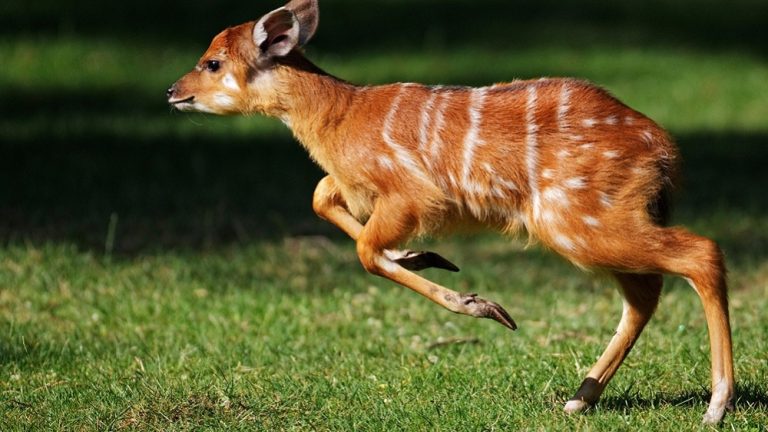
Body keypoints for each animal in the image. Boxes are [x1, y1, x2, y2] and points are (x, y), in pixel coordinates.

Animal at [166, 0, 734, 423]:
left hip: (578, 217)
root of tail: (664, 153)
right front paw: (421, 257)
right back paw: (580, 397)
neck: (338, 120)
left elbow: (366, 249)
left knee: (699, 254)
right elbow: (323, 197)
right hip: (599, 218)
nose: (173, 91)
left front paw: (476, 301)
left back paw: (716, 404)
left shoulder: (411, 193)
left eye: (213, 62)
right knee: (646, 290)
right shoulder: (356, 186)